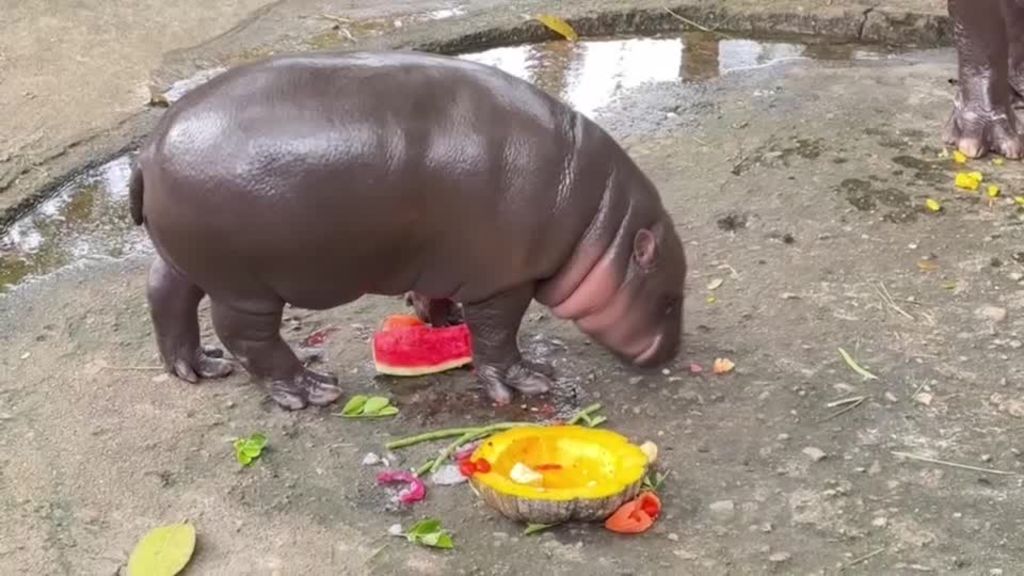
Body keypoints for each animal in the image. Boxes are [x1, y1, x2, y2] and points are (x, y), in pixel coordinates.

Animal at [129, 50, 687, 410]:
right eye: (669, 300)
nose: (670, 354)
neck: (600, 223)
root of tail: (149, 149)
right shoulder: (503, 279)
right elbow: (497, 336)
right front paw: (528, 382)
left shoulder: (446, 258)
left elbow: (437, 294)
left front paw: (442, 319)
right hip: (244, 286)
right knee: (249, 338)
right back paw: (314, 389)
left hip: (189, 258)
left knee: (166, 290)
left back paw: (199, 367)